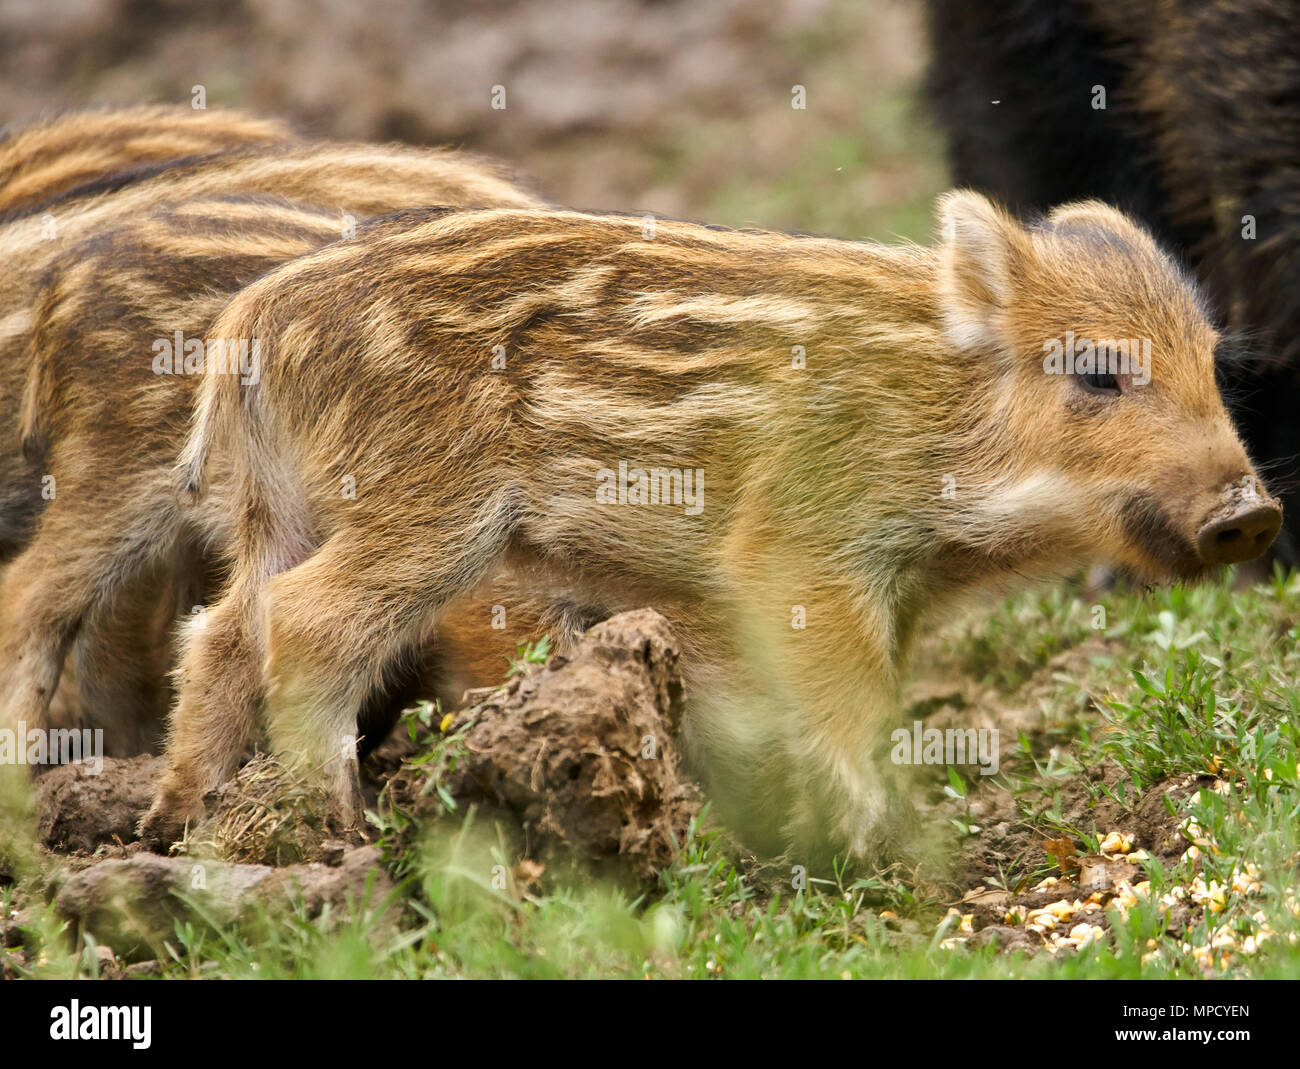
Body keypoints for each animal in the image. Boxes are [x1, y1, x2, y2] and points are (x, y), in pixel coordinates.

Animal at [141, 192, 1281, 863]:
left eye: (1210, 361)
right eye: (1098, 372)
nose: (1253, 511)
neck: (944, 413)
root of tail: (249, 330)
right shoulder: (797, 549)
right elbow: (845, 700)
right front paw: (874, 843)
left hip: (290, 512)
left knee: (220, 628)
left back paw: (180, 821)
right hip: (426, 509)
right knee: (305, 618)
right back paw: (333, 829)